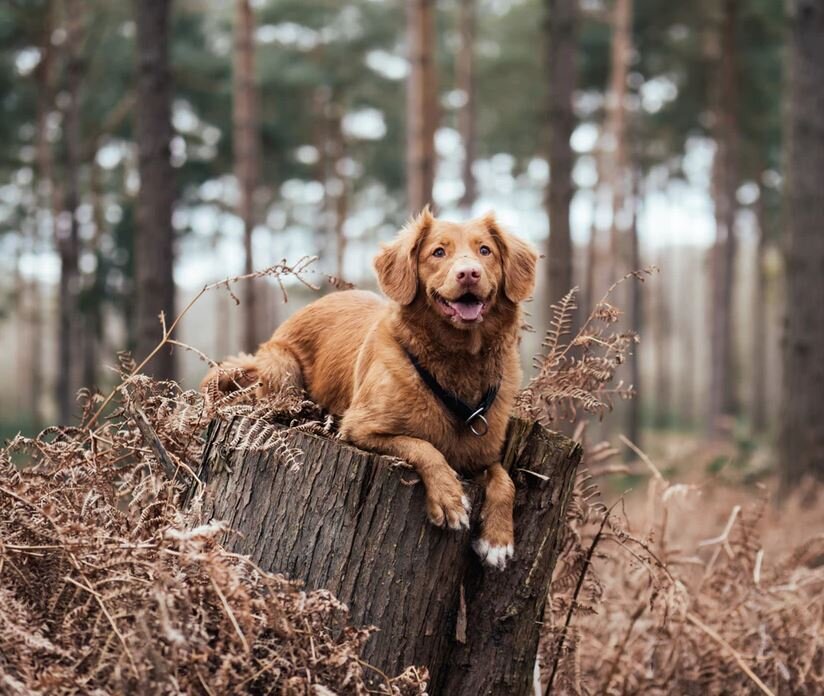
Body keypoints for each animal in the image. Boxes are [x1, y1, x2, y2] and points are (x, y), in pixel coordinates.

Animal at [206, 209, 536, 568]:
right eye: (438, 252)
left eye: (485, 250)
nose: (469, 273)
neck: (458, 363)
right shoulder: (360, 428)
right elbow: (423, 446)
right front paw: (448, 497)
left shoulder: (481, 454)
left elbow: (505, 480)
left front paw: (498, 539)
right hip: (282, 368)